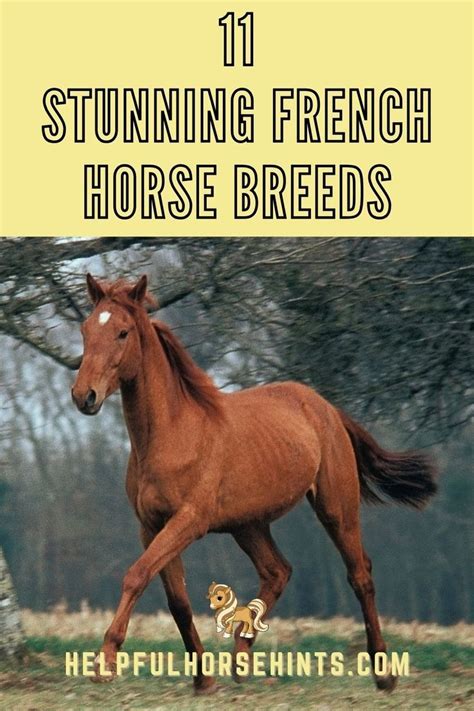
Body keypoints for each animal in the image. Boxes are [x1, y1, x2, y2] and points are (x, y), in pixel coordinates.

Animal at [71, 273, 437, 695]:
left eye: (122, 332)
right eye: (85, 329)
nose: (83, 396)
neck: (172, 434)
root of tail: (326, 407)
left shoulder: (189, 521)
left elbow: (135, 576)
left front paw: (104, 662)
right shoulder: (151, 526)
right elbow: (176, 600)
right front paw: (203, 680)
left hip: (335, 508)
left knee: (359, 574)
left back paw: (384, 674)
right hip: (248, 524)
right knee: (278, 572)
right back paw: (241, 659)